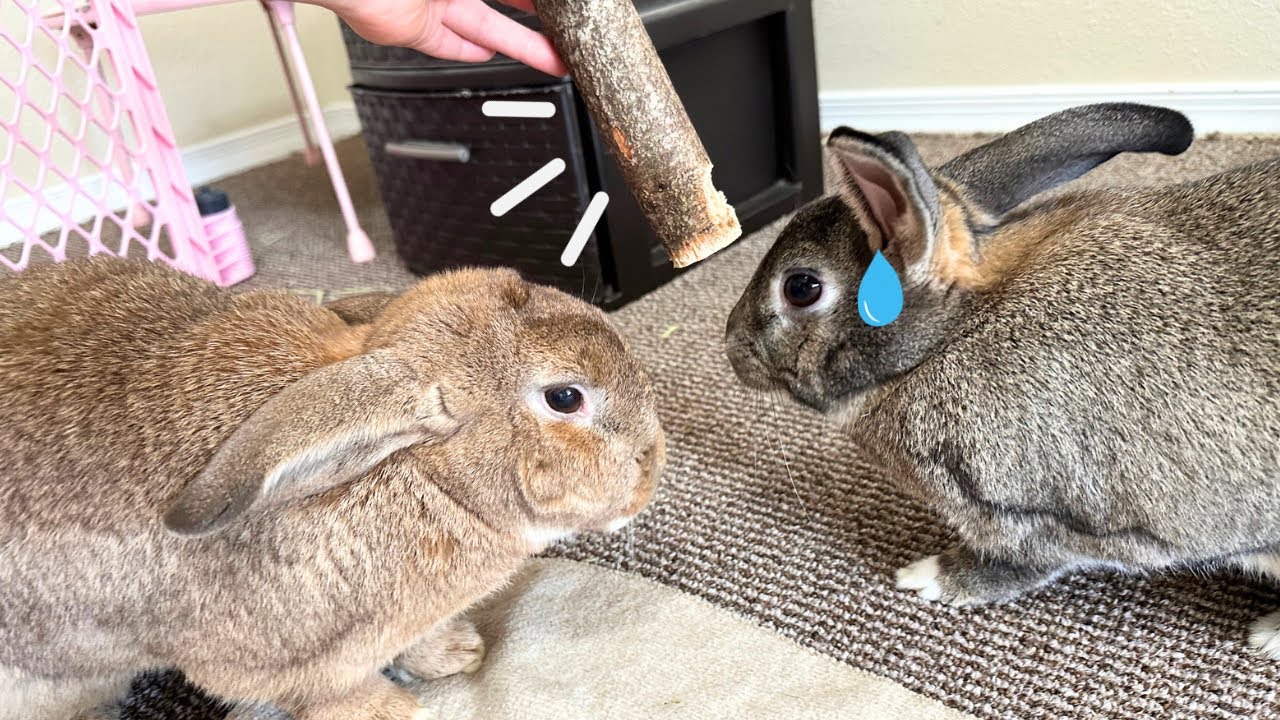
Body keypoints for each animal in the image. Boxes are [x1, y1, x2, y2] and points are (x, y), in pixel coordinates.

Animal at [0, 256, 665, 720]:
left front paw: (457, 655)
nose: (652, 465)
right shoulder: (274, 663)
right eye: (565, 397)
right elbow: (331, 697)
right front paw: (402, 713)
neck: (418, 470)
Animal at [725, 103, 1280, 654]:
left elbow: (1022, 564)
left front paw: (928, 577)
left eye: (801, 287)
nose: (730, 345)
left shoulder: (1042, 515)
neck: (948, 335)